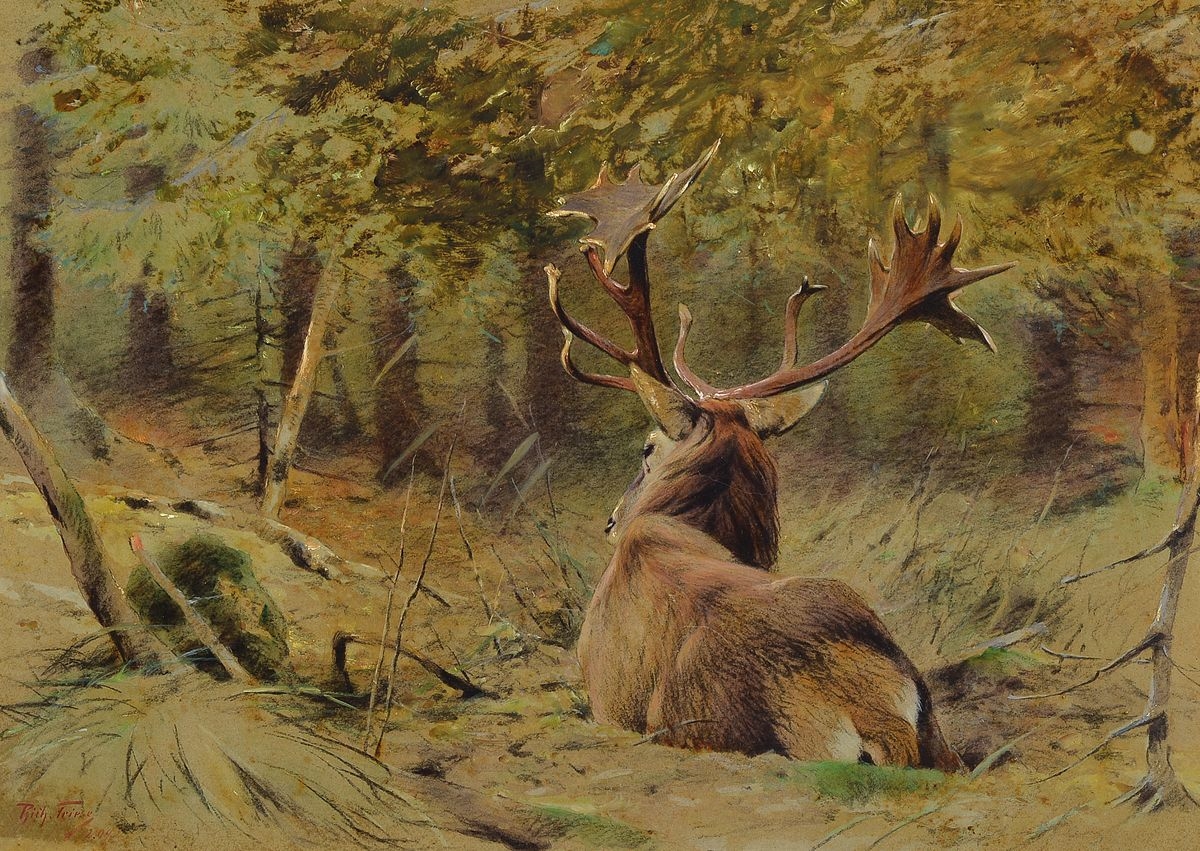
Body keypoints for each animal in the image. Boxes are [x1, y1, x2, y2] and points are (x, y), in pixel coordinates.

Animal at [543, 142, 1015, 770]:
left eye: (647, 448)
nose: (610, 521)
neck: (680, 521)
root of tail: (869, 715)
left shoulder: (599, 697)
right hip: (877, 640)